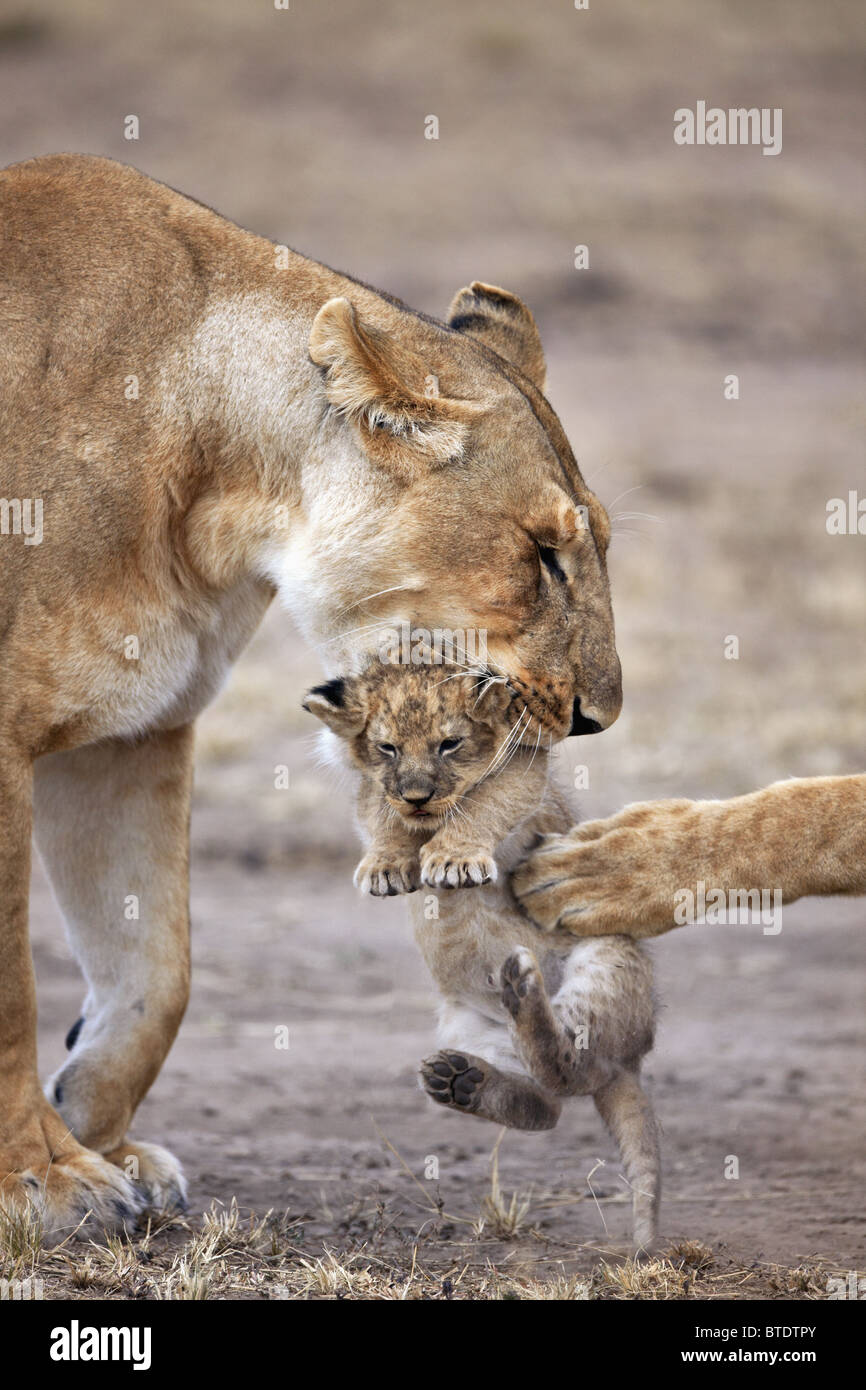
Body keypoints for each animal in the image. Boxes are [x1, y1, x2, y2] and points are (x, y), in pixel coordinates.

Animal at [0, 153, 621, 1233]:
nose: (599, 714)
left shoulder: (129, 733)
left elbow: (156, 971)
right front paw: (38, 1180)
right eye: (541, 555)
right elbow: (5, 993)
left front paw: (95, 1137)